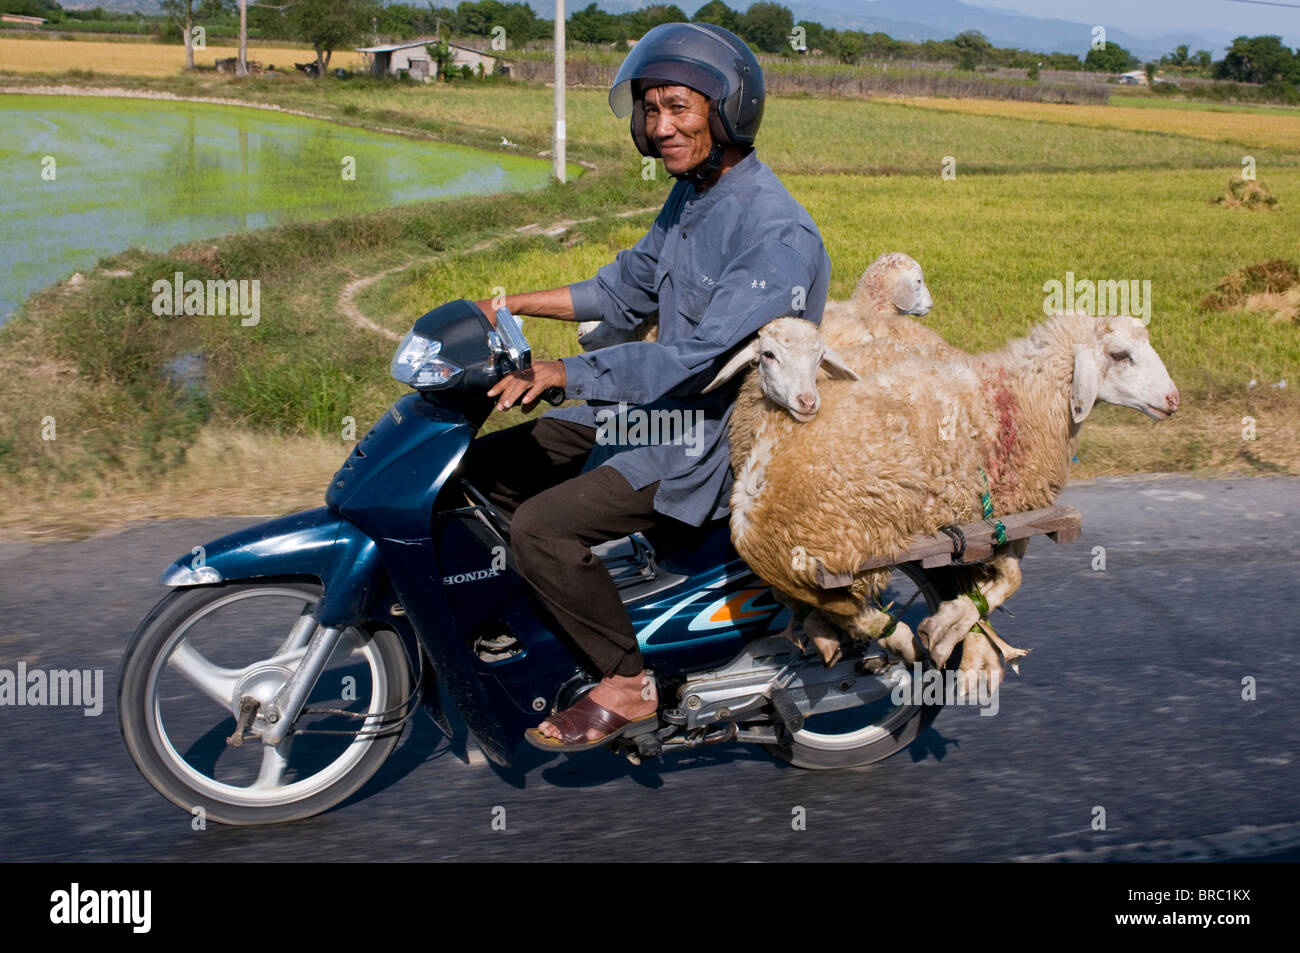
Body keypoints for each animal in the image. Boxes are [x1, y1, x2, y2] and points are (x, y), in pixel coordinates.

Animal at [711, 311, 1180, 685]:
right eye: (1119, 355)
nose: (1173, 400)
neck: (1021, 396)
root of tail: (748, 517)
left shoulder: (991, 520)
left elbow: (999, 579)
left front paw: (964, 628)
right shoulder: (1005, 512)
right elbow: (1010, 578)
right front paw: (947, 630)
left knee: (823, 607)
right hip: (864, 533)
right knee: (850, 607)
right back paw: (896, 639)